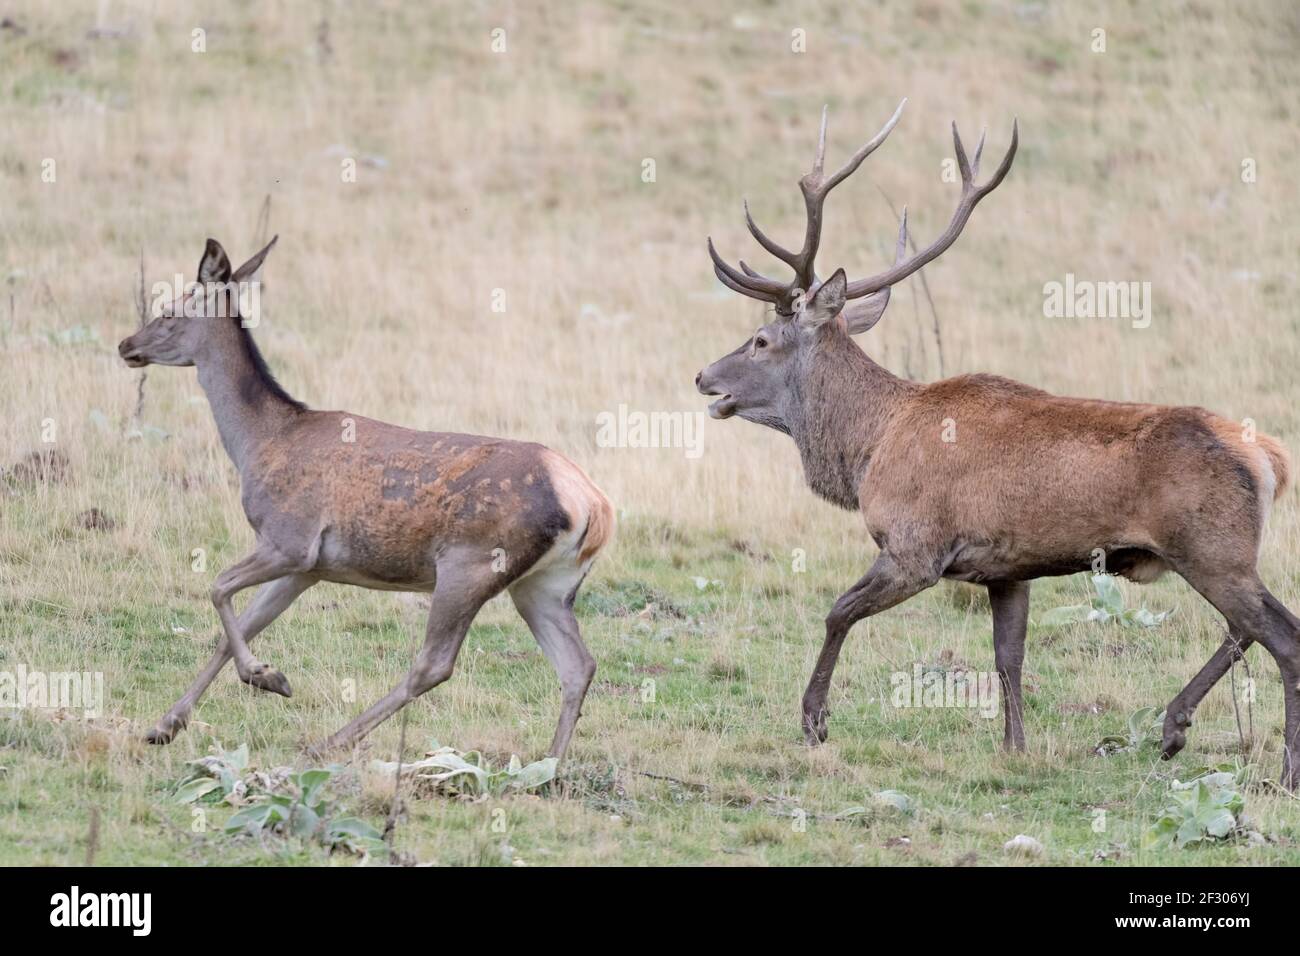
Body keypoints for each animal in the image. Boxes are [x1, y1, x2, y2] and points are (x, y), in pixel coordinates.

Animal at [117, 237, 614, 759]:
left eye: (169, 311)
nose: (126, 345)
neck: (259, 443)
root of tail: (594, 507)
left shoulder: (289, 538)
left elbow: (217, 587)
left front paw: (266, 676)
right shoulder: (309, 568)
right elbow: (239, 625)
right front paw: (164, 725)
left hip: (470, 565)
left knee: (434, 664)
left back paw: (331, 741)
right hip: (546, 584)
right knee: (577, 665)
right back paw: (549, 766)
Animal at [695, 100, 1300, 788]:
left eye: (761, 340)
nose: (703, 377)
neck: (868, 449)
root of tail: (1268, 456)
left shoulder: (916, 547)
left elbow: (838, 611)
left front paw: (814, 722)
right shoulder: (1007, 568)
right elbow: (1008, 655)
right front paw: (1015, 746)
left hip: (1211, 549)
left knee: (1281, 636)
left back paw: (1278, 766)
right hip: (1222, 555)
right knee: (1250, 627)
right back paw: (1174, 727)